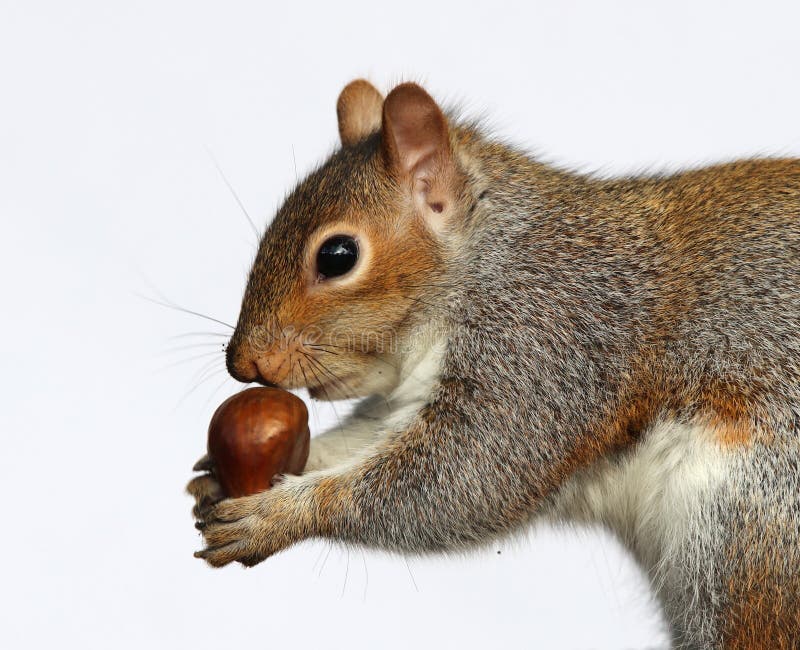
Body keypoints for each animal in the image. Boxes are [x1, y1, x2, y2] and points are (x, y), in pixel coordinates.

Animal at [187, 79, 800, 649]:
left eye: (338, 256)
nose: (243, 363)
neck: (485, 261)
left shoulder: (548, 342)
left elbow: (471, 473)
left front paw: (284, 513)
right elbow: (365, 439)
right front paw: (226, 479)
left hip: (746, 539)